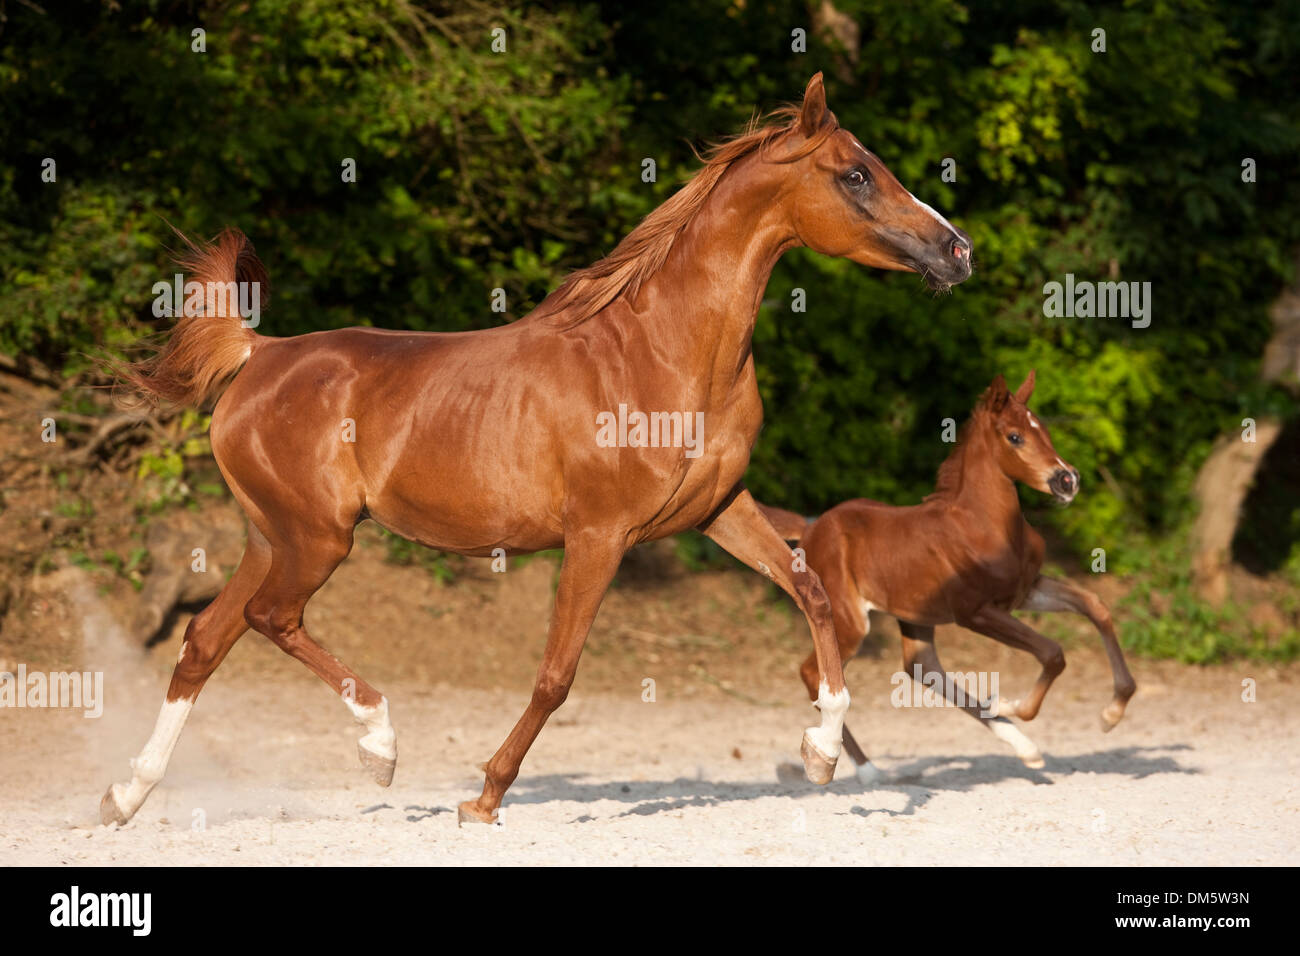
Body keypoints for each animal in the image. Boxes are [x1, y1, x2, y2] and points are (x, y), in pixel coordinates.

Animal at [101, 73, 974, 827]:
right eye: (856, 175)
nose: (958, 251)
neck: (662, 352)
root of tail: (260, 356)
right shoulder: (598, 536)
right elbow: (557, 676)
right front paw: (483, 797)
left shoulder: (718, 511)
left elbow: (812, 592)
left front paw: (821, 751)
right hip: (318, 538)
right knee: (269, 618)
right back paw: (379, 748)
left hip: (269, 536)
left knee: (205, 639)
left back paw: (125, 796)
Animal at [759, 371, 1136, 778]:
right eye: (1015, 436)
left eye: (1044, 430)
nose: (1068, 480)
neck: (984, 524)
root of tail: (810, 527)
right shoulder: (975, 612)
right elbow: (1052, 651)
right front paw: (1006, 702)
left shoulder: (1025, 591)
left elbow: (1095, 607)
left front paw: (1112, 713)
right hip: (849, 621)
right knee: (814, 673)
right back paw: (863, 768)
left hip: (915, 616)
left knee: (924, 668)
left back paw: (1025, 747)